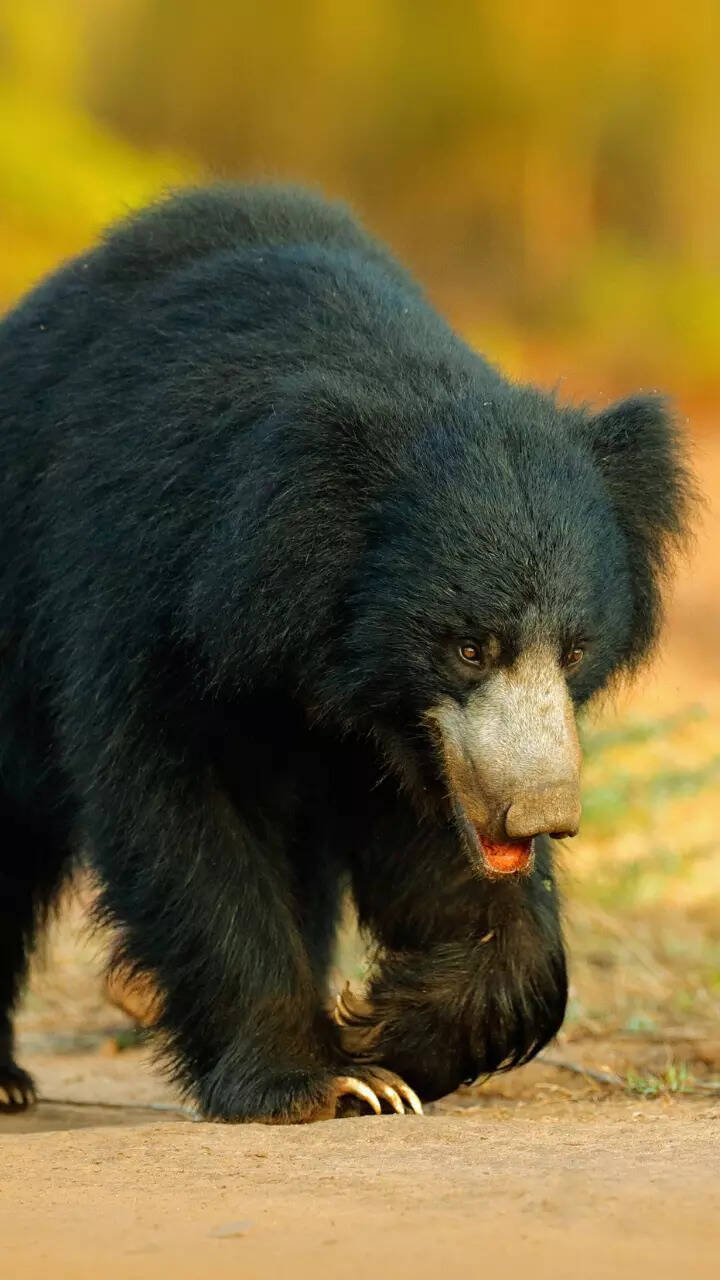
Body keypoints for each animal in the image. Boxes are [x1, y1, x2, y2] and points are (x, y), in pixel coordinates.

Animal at [0, 185, 691, 1121]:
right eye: (468, 646)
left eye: (576, 650)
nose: (540, 814)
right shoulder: (147, 594)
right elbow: (182, 813)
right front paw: (318, 1079)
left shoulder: (413, 738)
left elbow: (442, 852)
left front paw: (389, 1029)